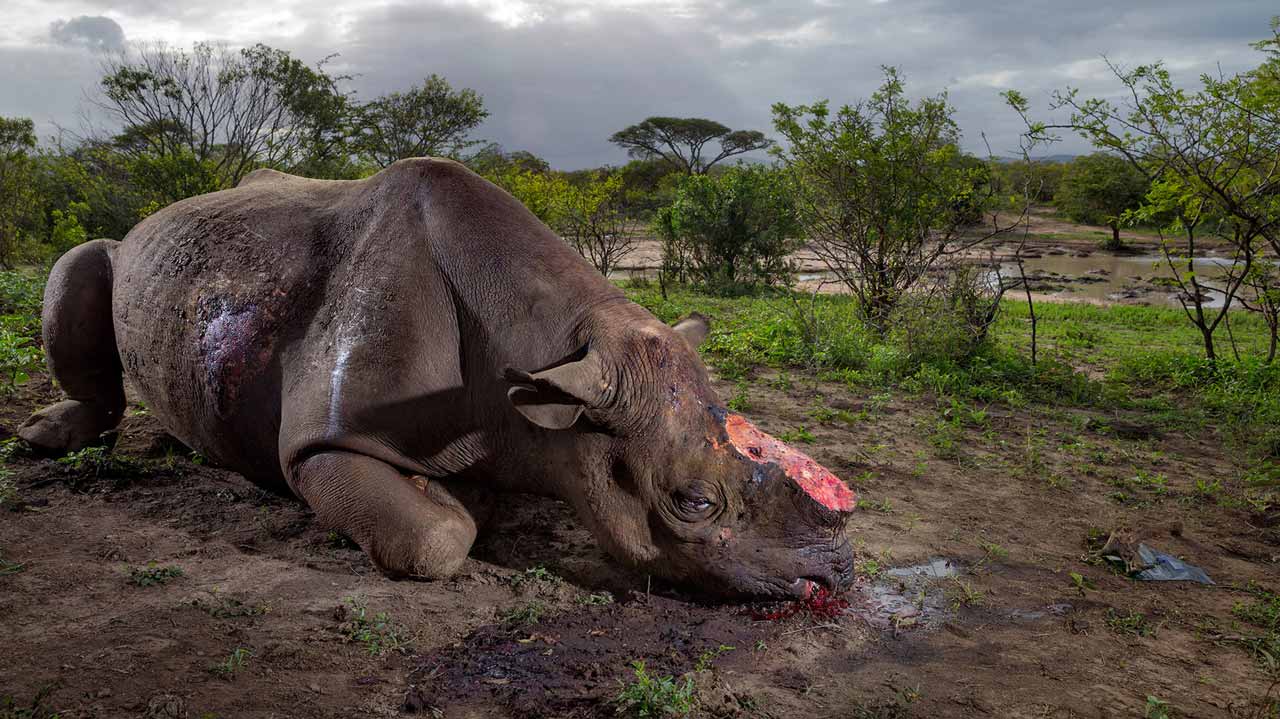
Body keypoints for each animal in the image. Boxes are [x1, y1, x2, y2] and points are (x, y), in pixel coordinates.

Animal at [19, 158, 856, 598]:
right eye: (693, 502)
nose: (837, 575)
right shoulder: (323, 443)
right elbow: (435, 538)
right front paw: (452, 503)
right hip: (133, 255)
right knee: (83, 260)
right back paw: (46, 438)